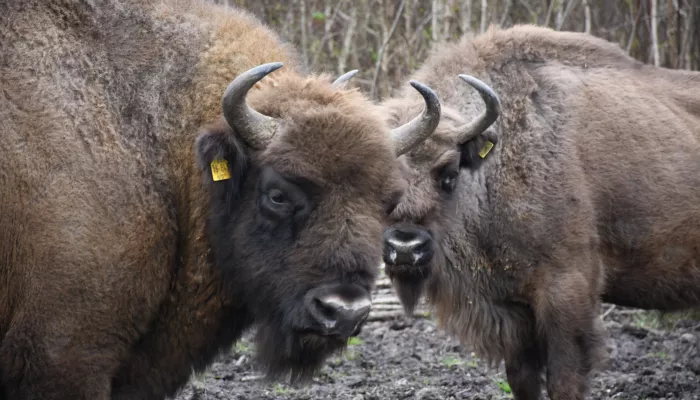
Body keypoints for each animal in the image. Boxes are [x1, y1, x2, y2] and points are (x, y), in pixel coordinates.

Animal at [381, 25, 700, 400]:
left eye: (450, 173)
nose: (404, 247)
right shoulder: (514, 310)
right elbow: (522, 379)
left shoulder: (566, 290)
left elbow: (564, 378)